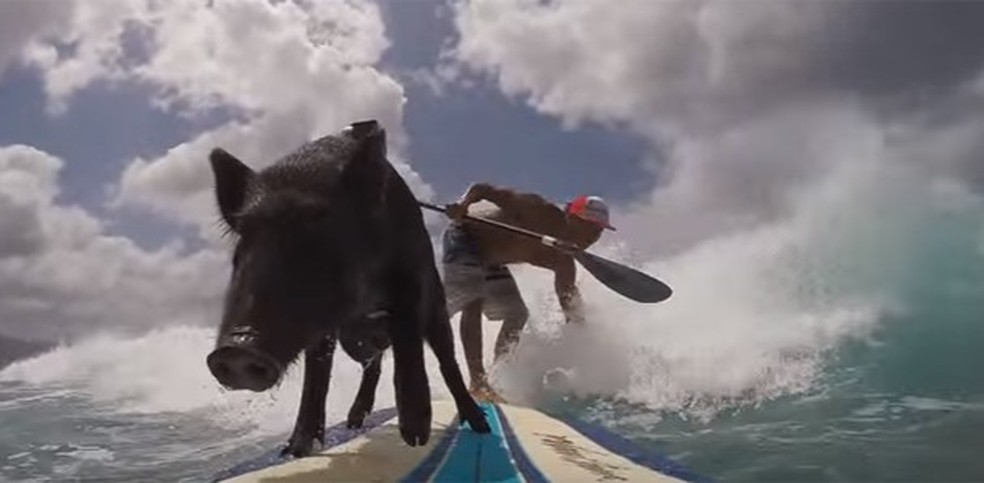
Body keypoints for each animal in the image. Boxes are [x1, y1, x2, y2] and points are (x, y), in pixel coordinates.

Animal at [204, 120, 490, 458]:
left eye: (319, 227)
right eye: (243, 241)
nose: (235, 349)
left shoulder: (412, 273)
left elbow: (408, 336)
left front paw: (416, 435)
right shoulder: (322, 329)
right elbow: (315, 375)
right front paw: (293, 451)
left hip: (437, 309)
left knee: (446, 360)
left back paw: (480, 425)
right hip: (353, 343)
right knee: (371, 360)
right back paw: (354, 420)